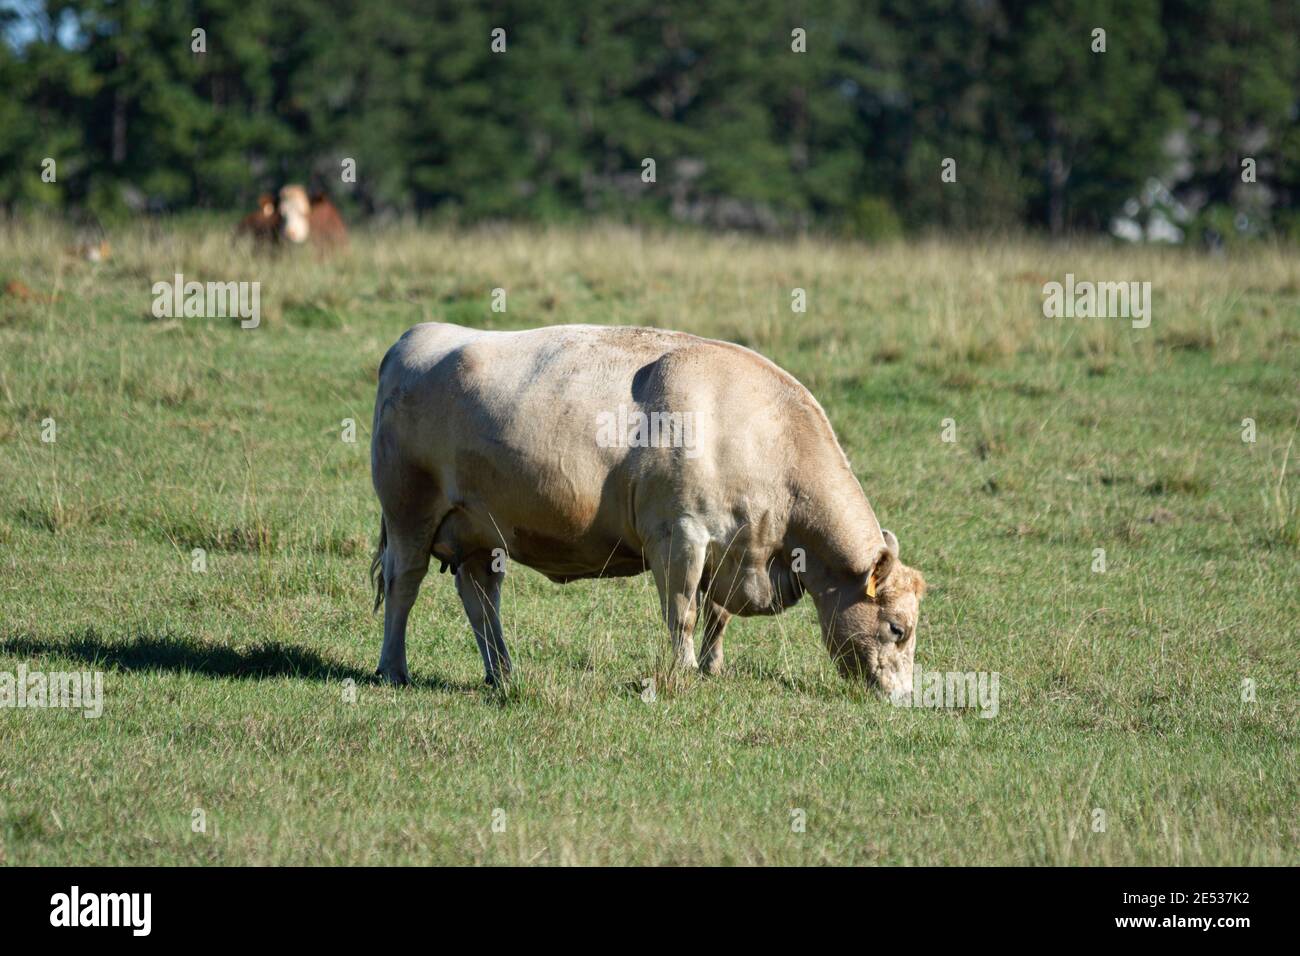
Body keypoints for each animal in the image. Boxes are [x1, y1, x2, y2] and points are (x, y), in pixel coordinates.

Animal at [369, 322, 927, 695]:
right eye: (896, 628)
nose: (902, 698)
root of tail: (418, 336)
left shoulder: (732, 549)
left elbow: (718, 615)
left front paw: (712, 667)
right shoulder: (680, 535)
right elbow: (683, 612)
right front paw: (683, 672)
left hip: (481, 534)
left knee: (481, 598)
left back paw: (501, 672)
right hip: (408, 512)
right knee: (404, 586)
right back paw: (393, 669)